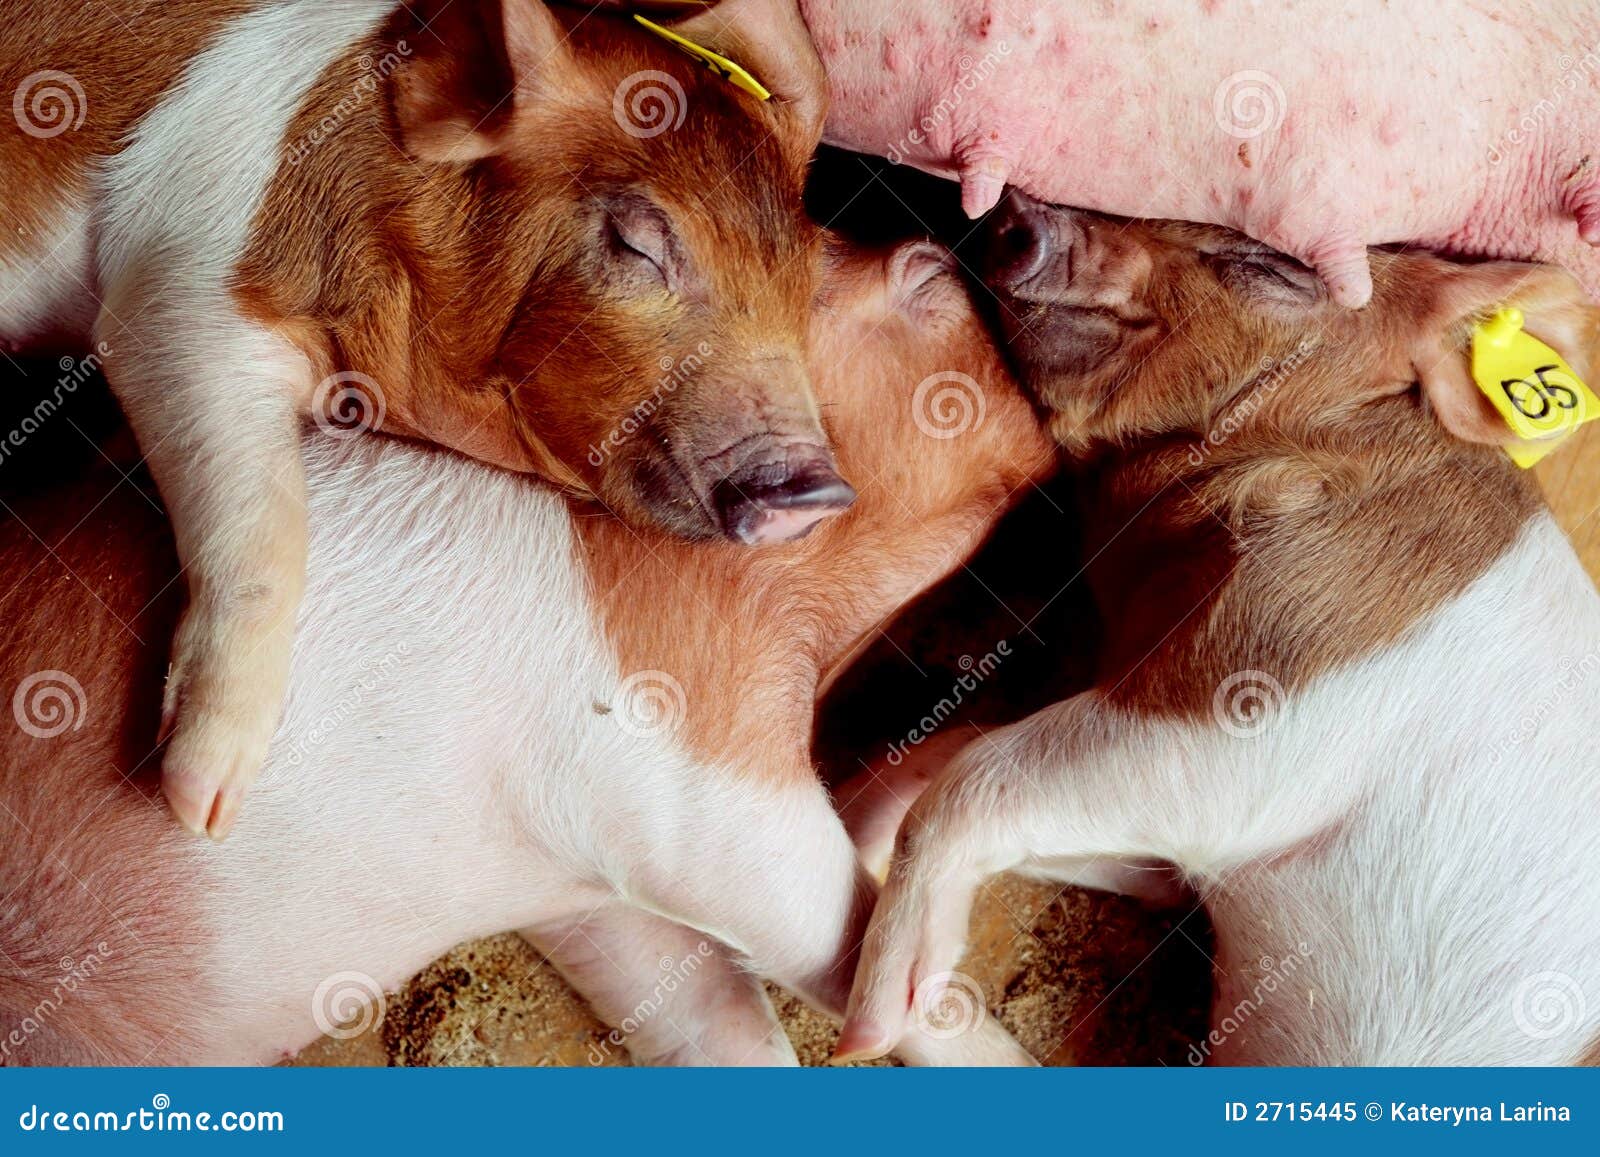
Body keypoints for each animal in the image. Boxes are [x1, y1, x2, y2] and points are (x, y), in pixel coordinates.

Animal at [0, 0, 848, 839]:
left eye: (807, 279)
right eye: (635, 243)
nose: (822, 490)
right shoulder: (180, 290)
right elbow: (265, 520)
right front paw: (201, 808)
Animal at [0, 238, 1052, 1066]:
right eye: (923, 283)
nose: (949, 247)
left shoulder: (584, 888)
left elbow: (719, 1018)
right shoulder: (697, 768)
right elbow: (831, 929)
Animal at [837, 192, 1600, 1065]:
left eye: (1278, 266)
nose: (1022, 209)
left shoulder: (1279, 691)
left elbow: (976, 773)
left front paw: (870, 1024)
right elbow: (955, 753)